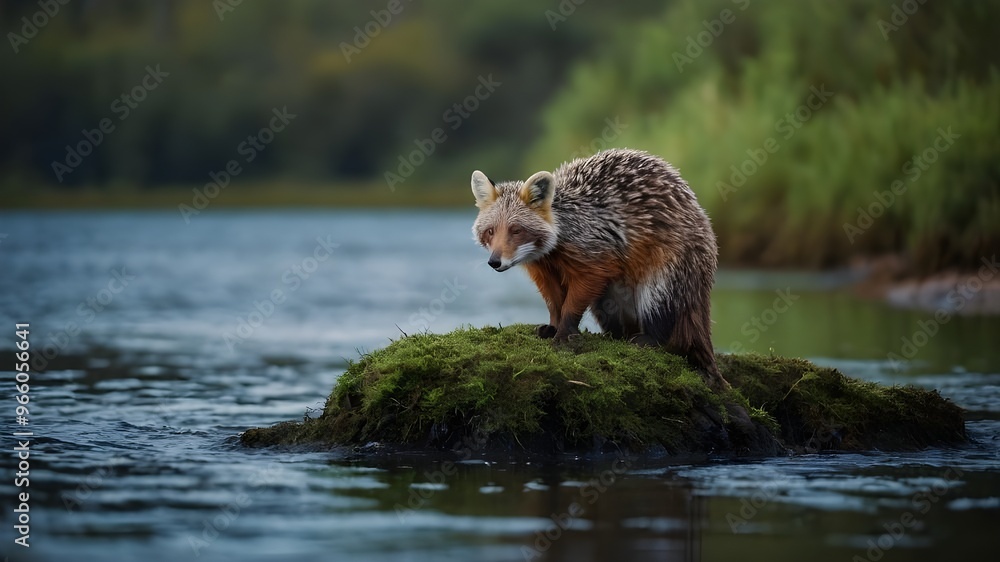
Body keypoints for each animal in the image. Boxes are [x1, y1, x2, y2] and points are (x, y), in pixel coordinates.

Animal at [471, 148, 728, 389]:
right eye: (491, 231)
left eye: (516, 230)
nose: (494, 262)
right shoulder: (544, 271)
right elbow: (555, 304)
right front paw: (553, 328)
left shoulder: (595, 263)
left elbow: (570, 307)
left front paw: (564, 333)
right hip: (608, 300)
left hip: (658, 286)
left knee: (671, 333)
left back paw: (648, 340)